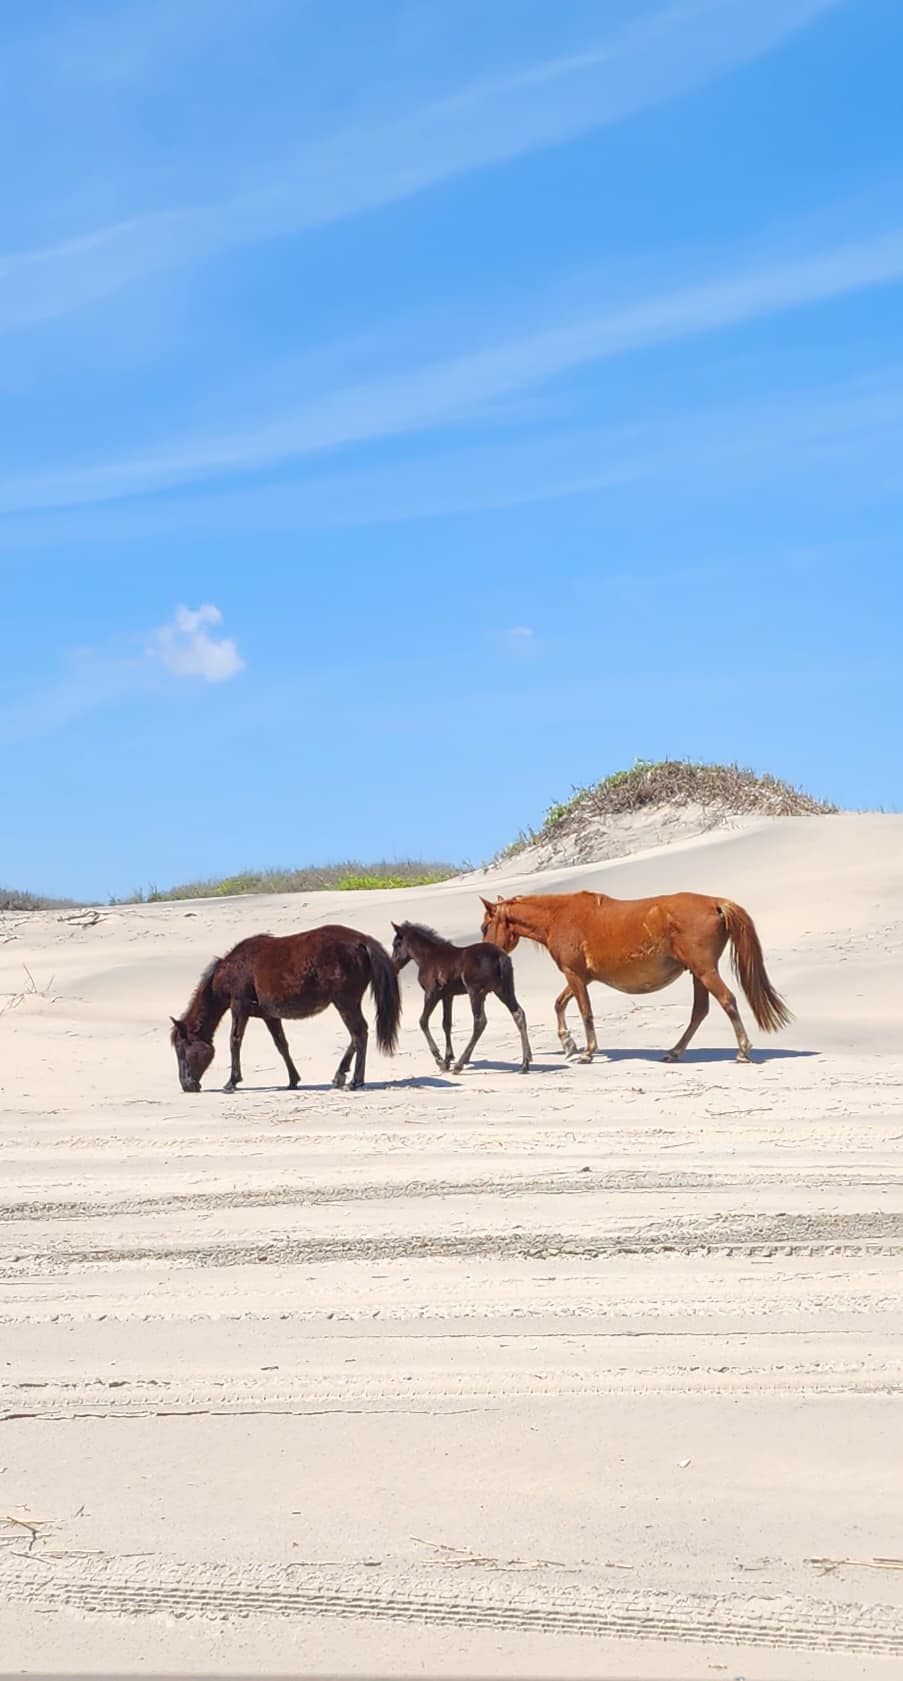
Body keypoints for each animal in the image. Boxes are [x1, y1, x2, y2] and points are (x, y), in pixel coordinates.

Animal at [170, 925, 401, 1093]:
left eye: (182, 1048)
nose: (187, 1086)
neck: (233, 968)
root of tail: (362, 940)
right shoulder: (270, 1016)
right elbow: (282, 1045)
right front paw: (293, 1080)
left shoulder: (239, 1006)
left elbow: (235, 1042)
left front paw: (232, 1082)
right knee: (358, 1035)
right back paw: (343, 1076)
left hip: (345, 1002)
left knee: (358, 1033)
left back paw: (353, 1080)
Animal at [390, 921, 532, 1074]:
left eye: (396, 944)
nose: (393, 966)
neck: (428, 957)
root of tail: (500, 956)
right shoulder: (447, 995)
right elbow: (446, 1023)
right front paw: (447, 1059)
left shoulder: (431, 993)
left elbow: (423, 1021)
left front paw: (440, 1060)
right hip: (502, 990)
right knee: (518, 1013)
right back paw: (525, 1063)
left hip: (475, 991)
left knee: (480, 1022)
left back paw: (460, 1064)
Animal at [479, 891, 790, 1064]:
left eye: (484, 927)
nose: (487, 954)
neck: (559, 916)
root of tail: (716, 903)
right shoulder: (580, 977)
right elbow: (559, 1004)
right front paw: (568, 1043)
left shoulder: (574, 975)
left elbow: (585, 1012)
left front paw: (587, 1051)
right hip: (698, 974)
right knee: (700, 1012)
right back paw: (674, 1052)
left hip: (704, 971)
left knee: (727, 1001)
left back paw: (742, 1051)